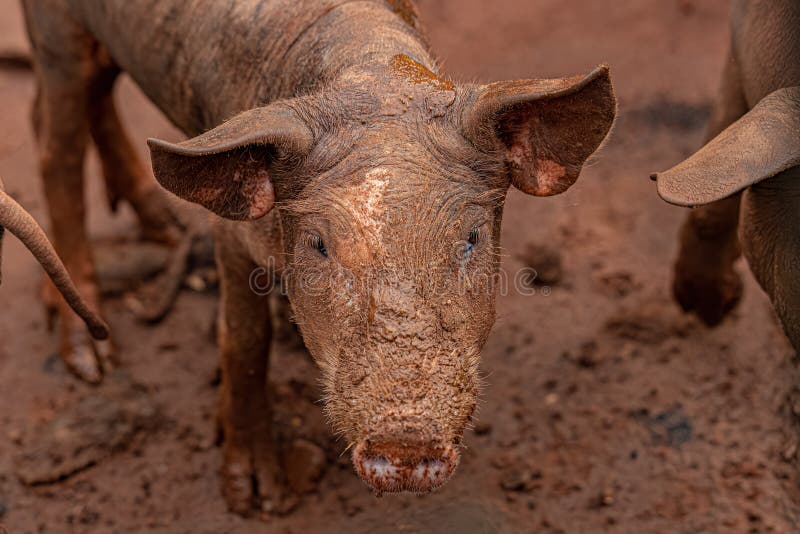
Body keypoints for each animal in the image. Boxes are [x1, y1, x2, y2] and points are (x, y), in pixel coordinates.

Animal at [22, 0, 616, 515]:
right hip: (54, 30)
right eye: (318, 245)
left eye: (470, 237)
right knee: (55, 149)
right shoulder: (229, 233)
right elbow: (243, 340)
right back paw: (94, 362)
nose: (406, 439)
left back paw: (163, 231)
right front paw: (257, 500)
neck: (369, 70)